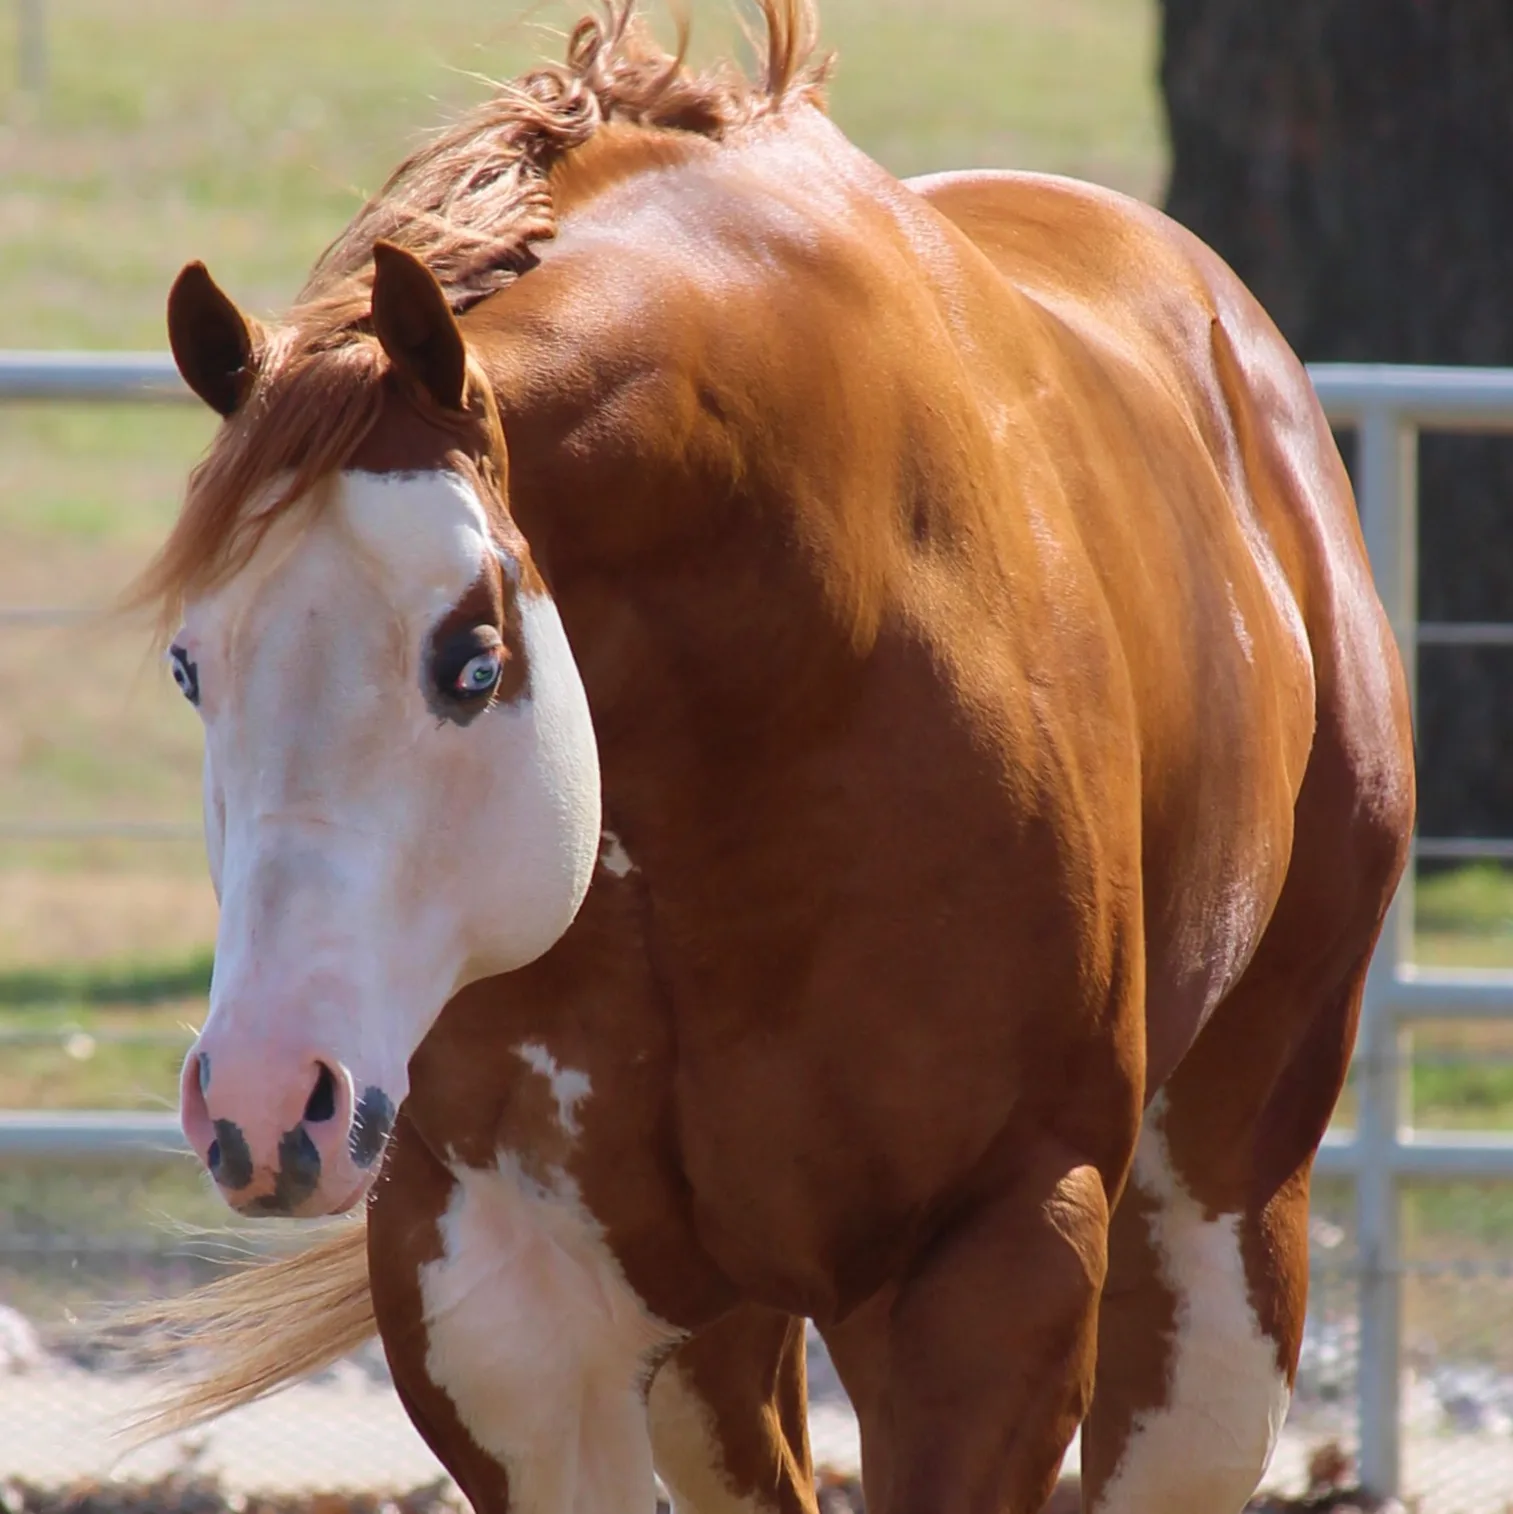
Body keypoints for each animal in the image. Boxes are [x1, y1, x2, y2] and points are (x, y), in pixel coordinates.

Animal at [133, 4, 1415, 1513]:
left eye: (473, 658)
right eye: (189, 664)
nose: (267, 1098)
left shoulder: (994, 1267)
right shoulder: (499, 1295)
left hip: (1222, 1219)